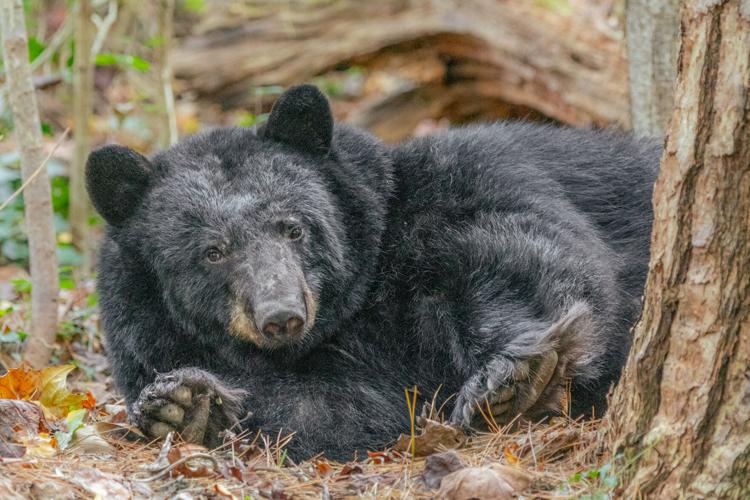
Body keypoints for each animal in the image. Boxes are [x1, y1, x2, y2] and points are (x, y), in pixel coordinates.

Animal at [85, 85, 660, 461]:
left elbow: (519, 252)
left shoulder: (465, 180)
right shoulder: (149, 332)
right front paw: (187, 404)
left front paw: (514, 373)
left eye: (293, 228)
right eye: (212, 252)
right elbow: (338, 410)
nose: (281, 315)